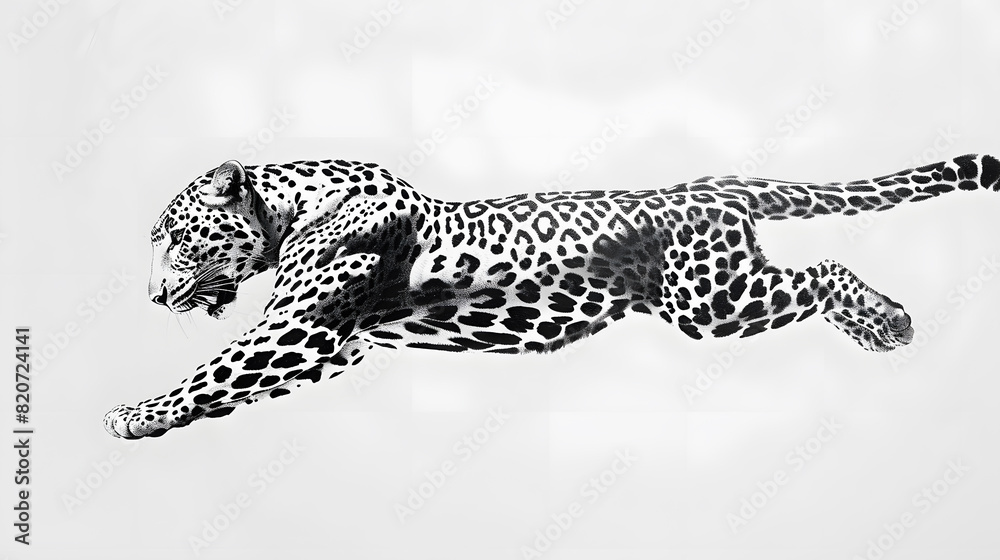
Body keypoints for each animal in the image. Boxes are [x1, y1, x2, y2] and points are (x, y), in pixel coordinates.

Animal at [104, 154, 1000, 438]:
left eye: (174, 238)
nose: (150, 299)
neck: (292, 206)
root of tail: (707, 184)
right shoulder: (333, 347)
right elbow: (233, 382)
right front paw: (148, 416)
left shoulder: (300, 329)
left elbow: (218, 369)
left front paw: (134, 415)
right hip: (718, 297)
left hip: (716, 301)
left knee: (823, 273)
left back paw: (888, 321)